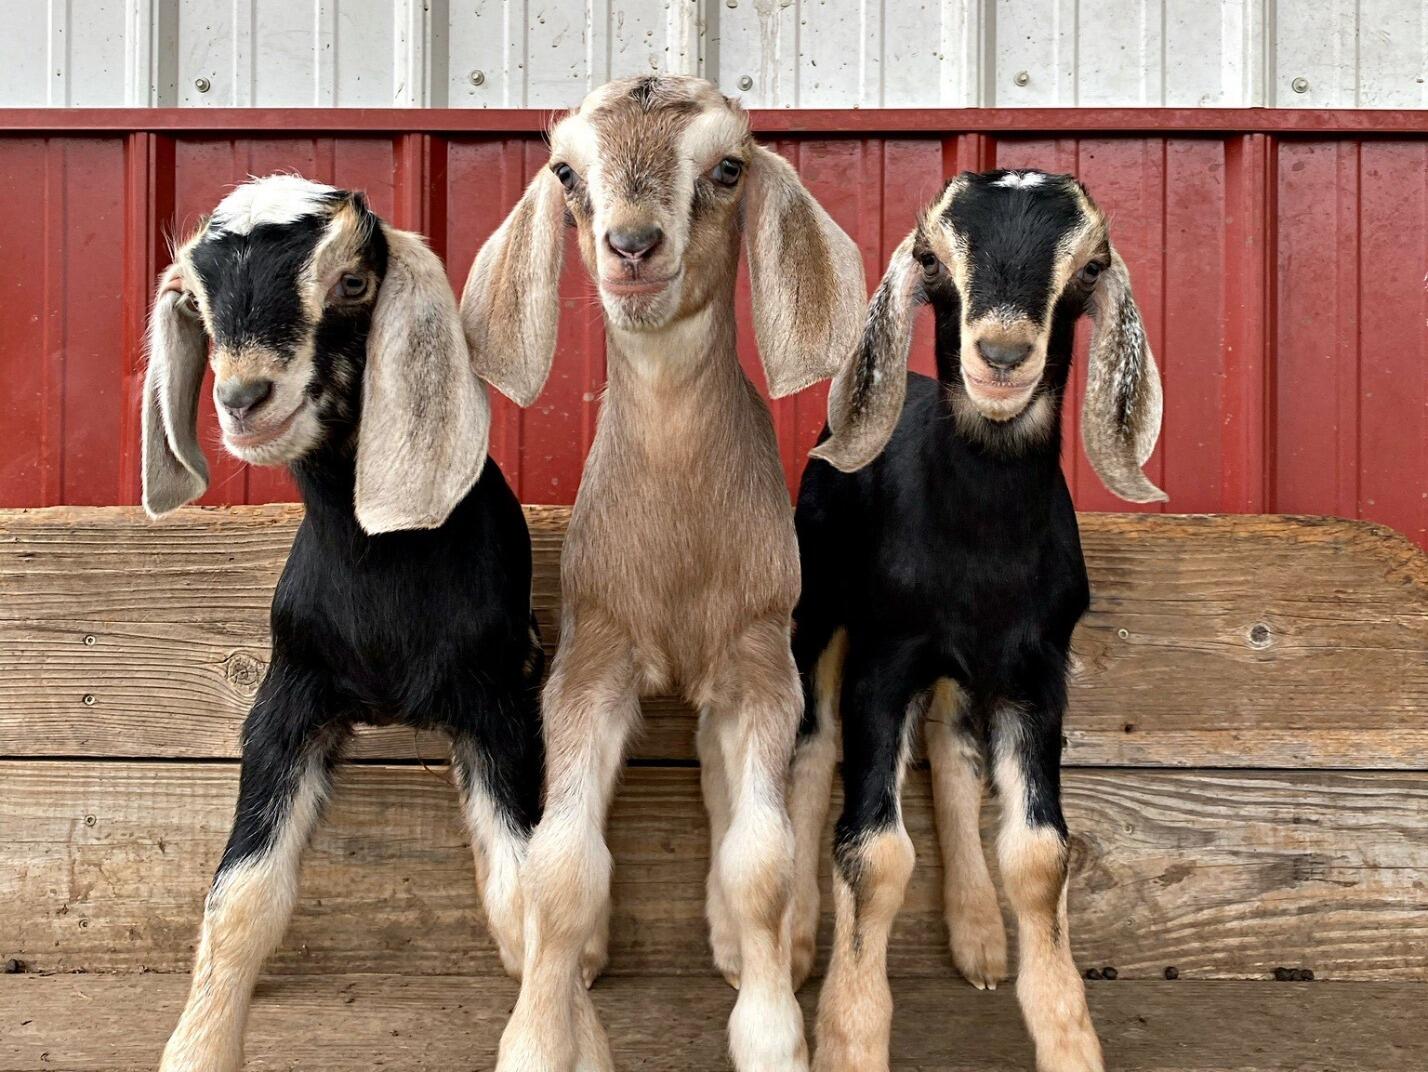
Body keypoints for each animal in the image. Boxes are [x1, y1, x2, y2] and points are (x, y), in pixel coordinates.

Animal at [141, 175, 544, 1072]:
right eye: (196, 301)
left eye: (353, 281)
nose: (244, 399)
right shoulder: (287, 696)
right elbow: (242, 897)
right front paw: (196, 1048)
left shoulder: (501, 703)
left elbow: (527, 893)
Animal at [459, 75, 866, 1072]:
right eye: (567, 172)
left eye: (728, 168)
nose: (633, 246)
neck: (680, 545)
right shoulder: (591, 658)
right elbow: (561, 865)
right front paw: (539, 1037)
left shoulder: (761, 663)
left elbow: (760, 861)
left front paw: (771, 1031)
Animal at [787, 169, 1166, 1072]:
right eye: (930, 257)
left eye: (1090, 265)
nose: (999, 355)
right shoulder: (885, 658)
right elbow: (873, 852)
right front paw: (848, 1037)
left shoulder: (1035, 673)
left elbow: (1040, 854)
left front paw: (1069, 1039)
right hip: (820, 611)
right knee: (814, 744)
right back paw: (794, 942)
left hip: (966, 671)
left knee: (953, 751)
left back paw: (979, 937)